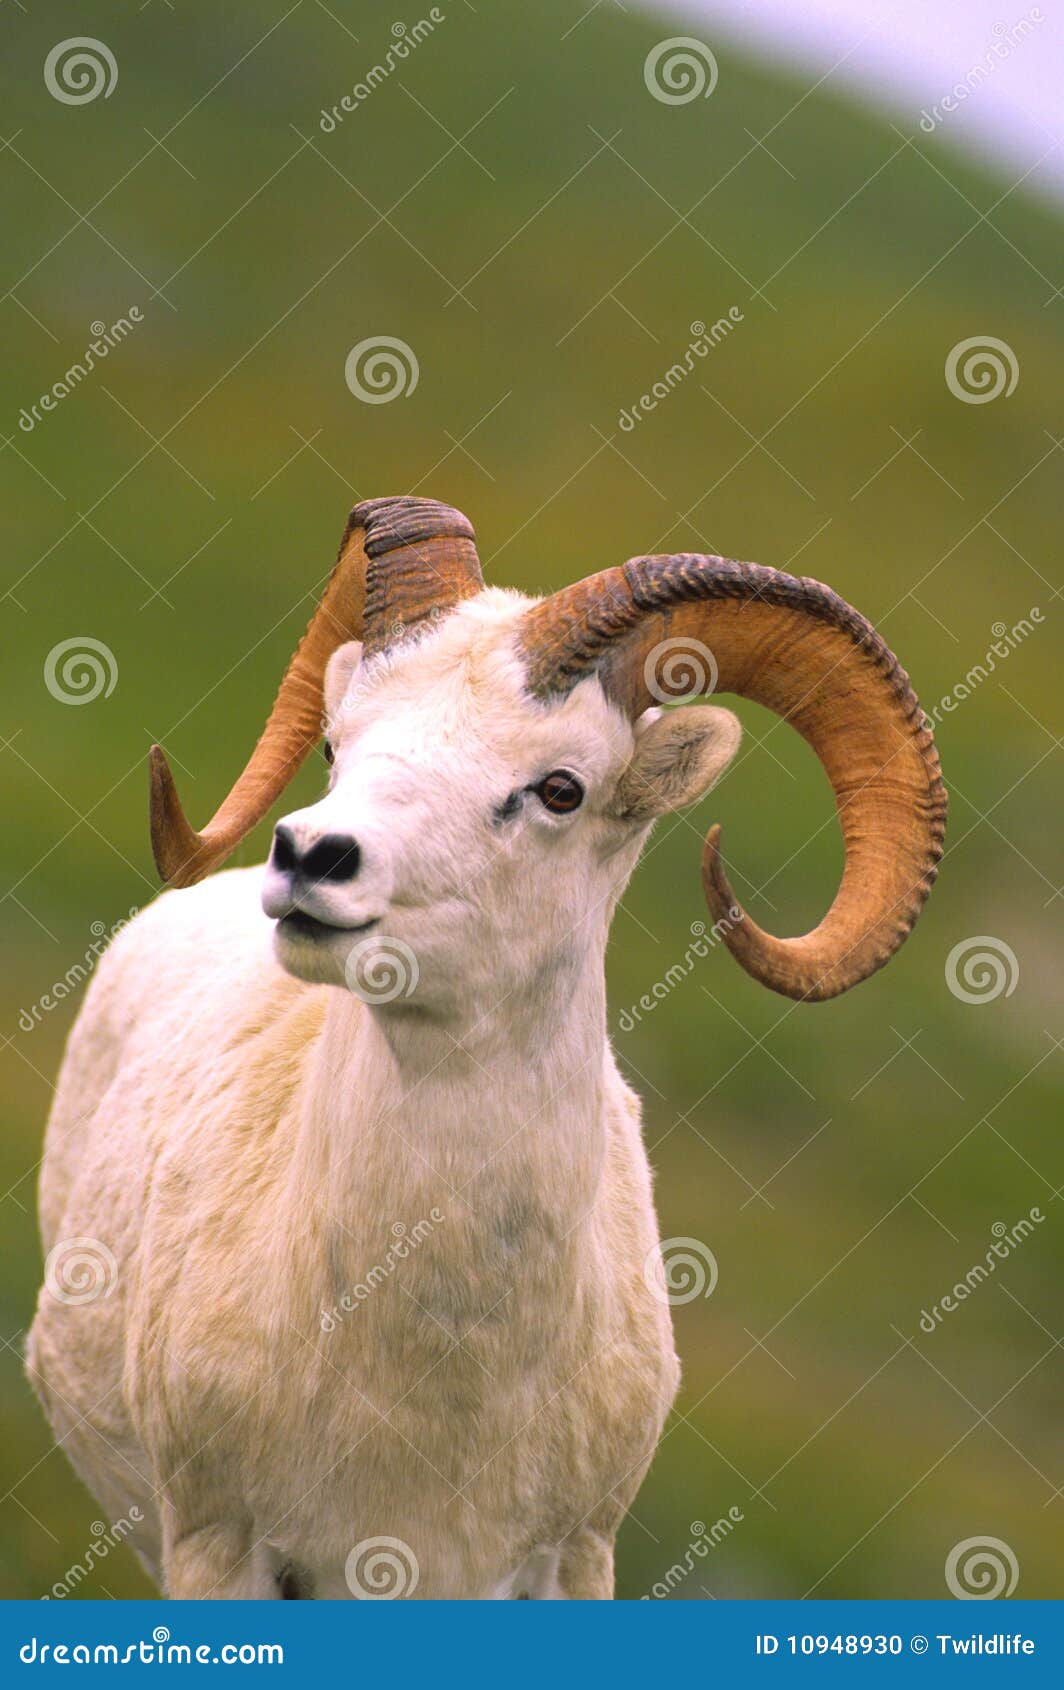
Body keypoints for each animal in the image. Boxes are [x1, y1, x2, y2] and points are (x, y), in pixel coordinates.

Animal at [27, 497, 946, 1599]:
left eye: (560, 789)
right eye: (336, 745)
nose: (310, 858)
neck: (441, 1364)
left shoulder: (567, 1563)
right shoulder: (220, 1549)